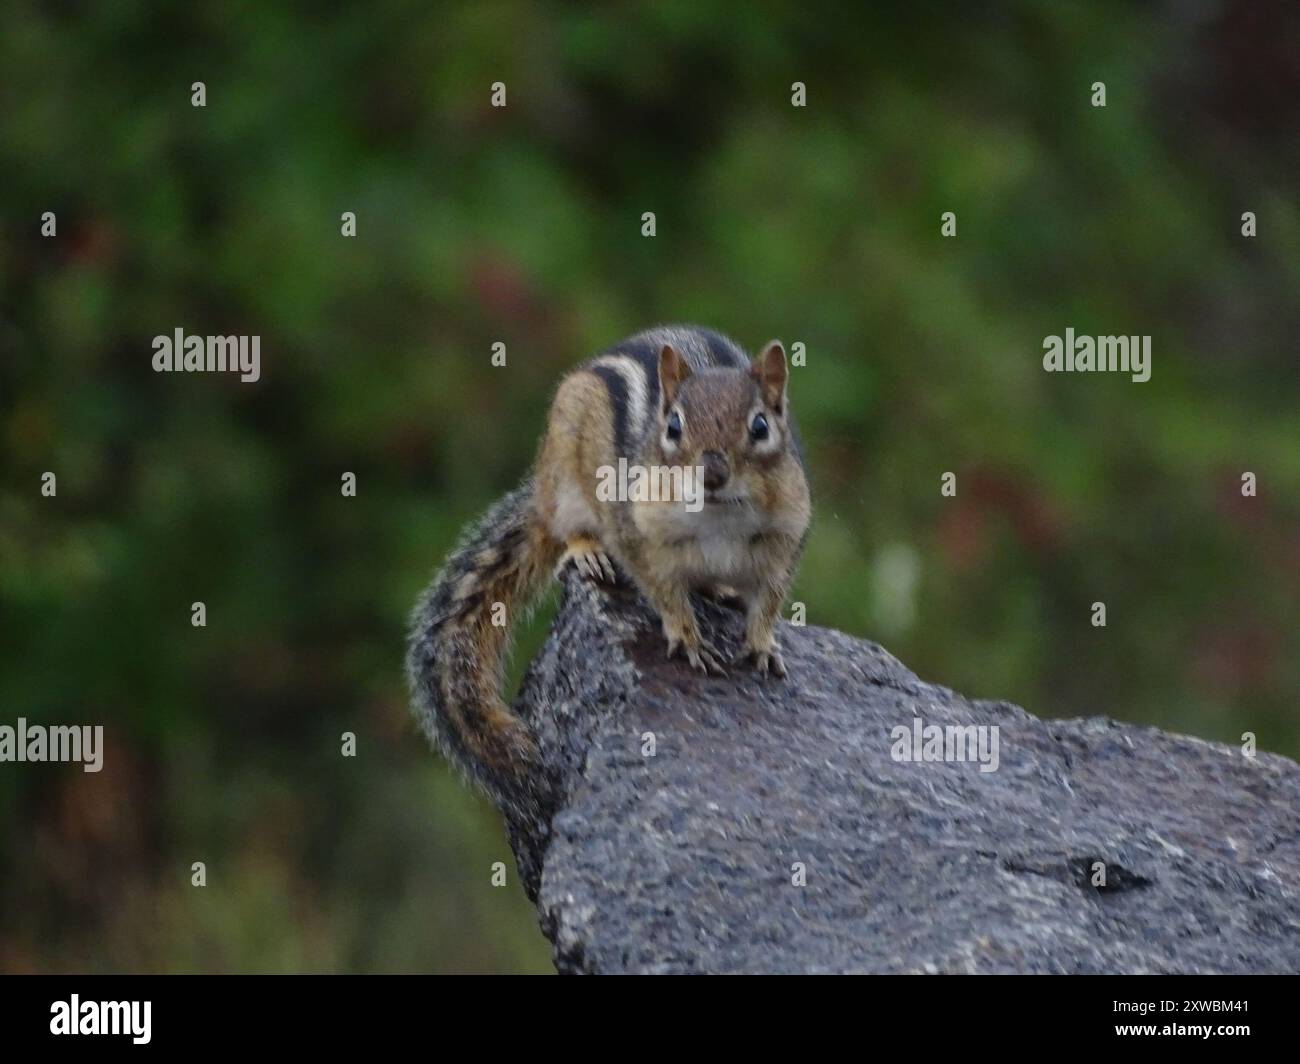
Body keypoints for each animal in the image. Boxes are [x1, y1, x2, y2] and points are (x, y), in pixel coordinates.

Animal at [406, 325, 811, 827]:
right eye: (673, 427)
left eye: (760, 427)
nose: (712, 473)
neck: (719, 518)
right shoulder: (636, 529)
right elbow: (663, 590)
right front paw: (689, 637)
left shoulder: (786, 538)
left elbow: (769, 601)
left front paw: (761, 644)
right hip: (564, 478)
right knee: (567, 528)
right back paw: (587, 552)